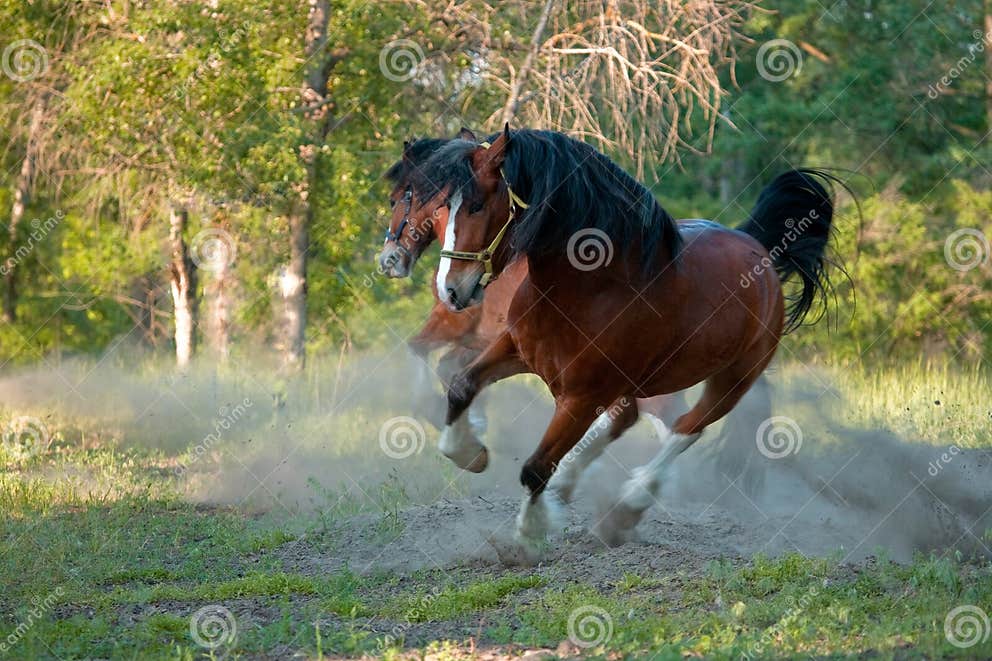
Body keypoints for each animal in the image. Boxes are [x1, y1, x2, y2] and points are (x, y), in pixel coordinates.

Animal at [378, 133, 686, 497]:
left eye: (398, 199)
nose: (388, 260)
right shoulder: (485, 342)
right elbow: (452, 370)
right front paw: (474, 428)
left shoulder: (455, 323)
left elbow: (420, 350)